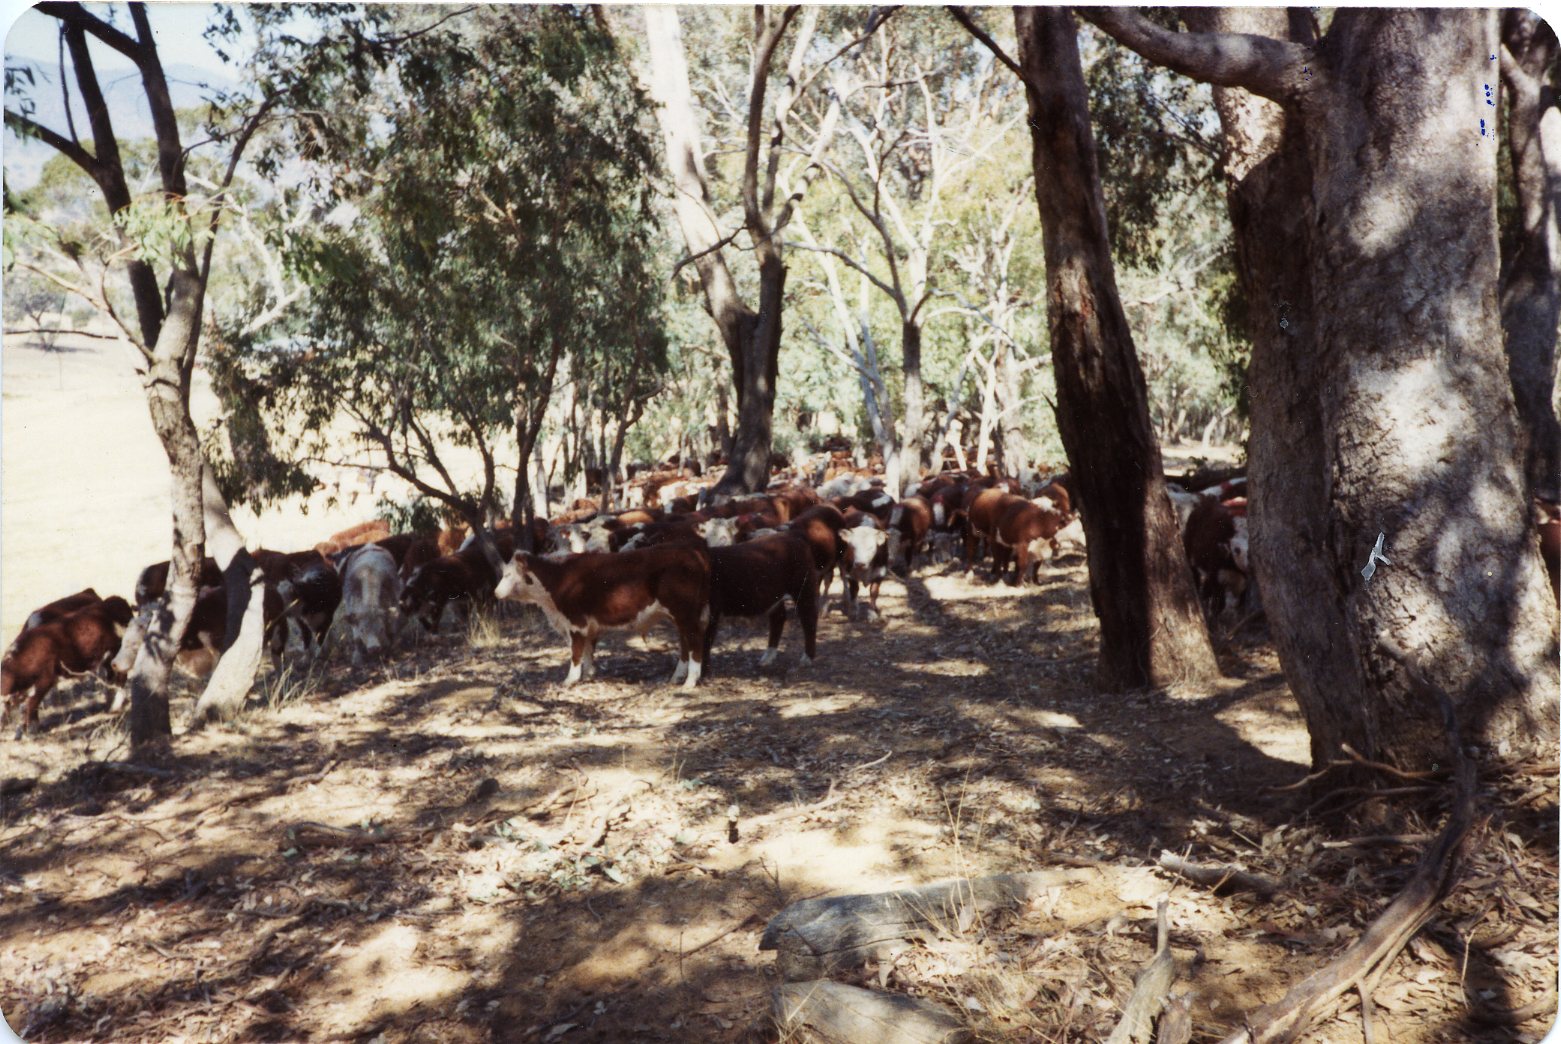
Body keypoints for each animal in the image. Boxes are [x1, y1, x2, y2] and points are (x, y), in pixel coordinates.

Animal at [3, 597, 133, 736]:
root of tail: (116, 600)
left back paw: (115, 705)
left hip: (118, 654)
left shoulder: (45, 680)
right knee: (111, 678)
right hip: (106, 660)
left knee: (121, 677)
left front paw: (31, 730)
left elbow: (31, 704)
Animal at [495, 547, 711, 688]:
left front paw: (570, 679)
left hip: (685, 612)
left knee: (695, 641)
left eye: (508, 575)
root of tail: (692, 552)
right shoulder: (589, 624)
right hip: (681, 615)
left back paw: (690, 681)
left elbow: (576, 651)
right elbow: (588, 650)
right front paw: (588, 675)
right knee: (685, 642)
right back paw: (677, 677)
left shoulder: (576, 622)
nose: (495, 593)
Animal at [702, 535, 819, 673]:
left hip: (803, 588)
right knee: (778, 618)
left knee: (809, 619)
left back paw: (807, 659)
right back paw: (767, 658)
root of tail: (797, 539)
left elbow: (703, 641)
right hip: (775, 596)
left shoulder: (711, 610)